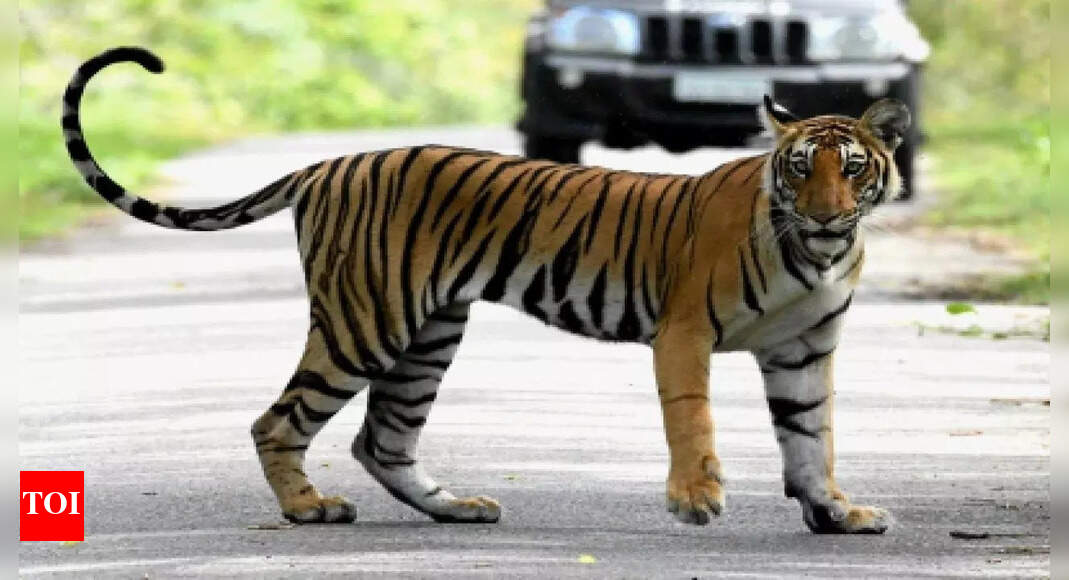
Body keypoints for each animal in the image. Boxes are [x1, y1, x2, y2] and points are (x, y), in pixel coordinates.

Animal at [63, 47, 910, 534]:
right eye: (799, 168)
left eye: (851, 169)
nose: (825, 212)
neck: (818, 251)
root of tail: (328, 163)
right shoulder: (683, 333)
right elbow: (691, 419)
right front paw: (695, 499)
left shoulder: (803, 350)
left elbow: (810, 436)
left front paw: (835, 513)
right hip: (365, 320)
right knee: (278, 421)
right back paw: (309, 509)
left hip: (429, 330)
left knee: (381, 438)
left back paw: (455, 507)